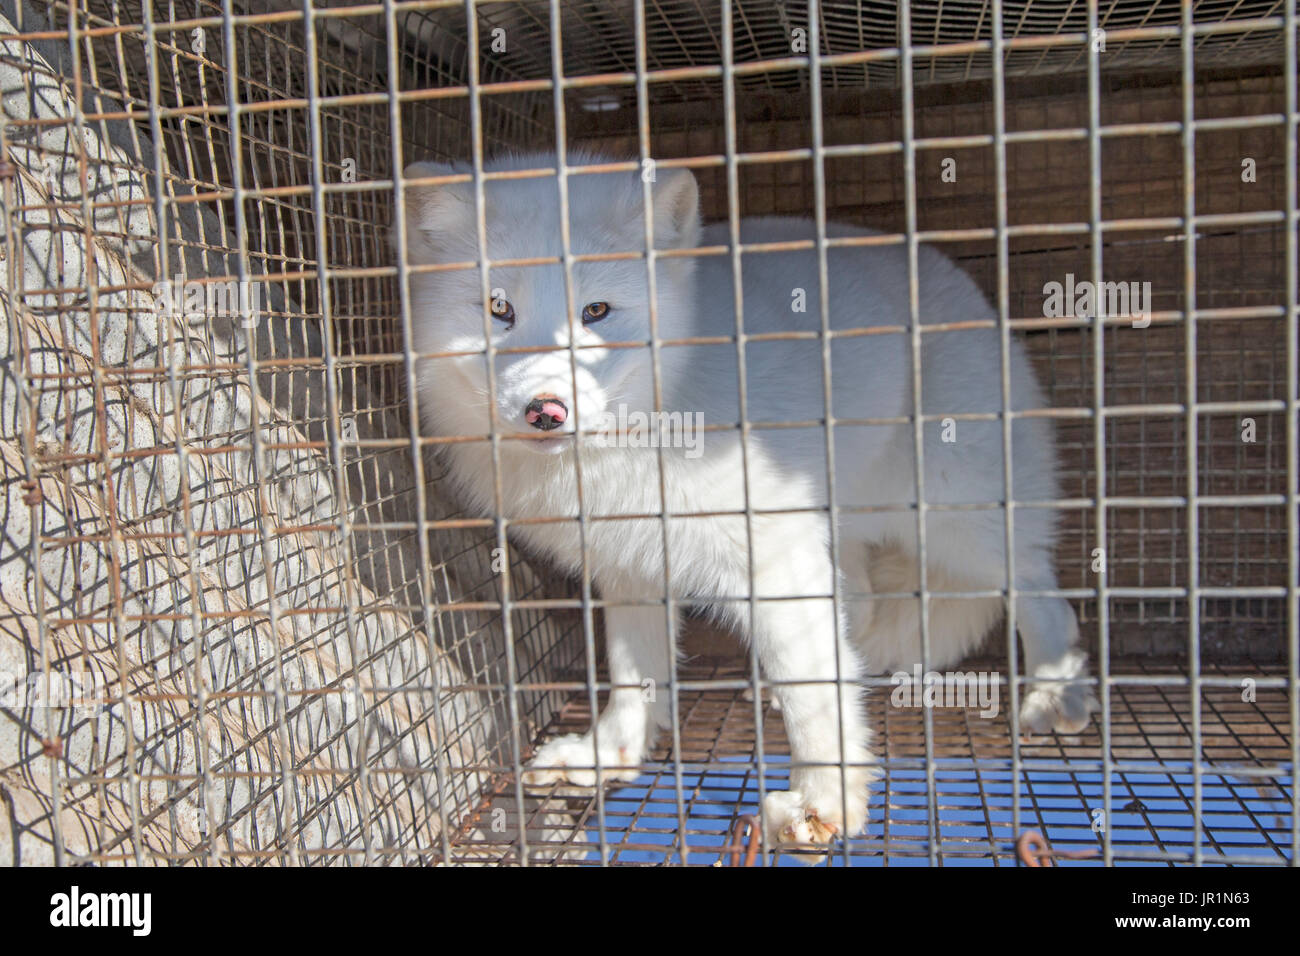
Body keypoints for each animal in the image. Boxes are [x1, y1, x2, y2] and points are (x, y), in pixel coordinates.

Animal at [397, 152, 1096, 856]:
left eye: (596, 310)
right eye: (498, 308)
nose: (546, 410)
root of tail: (957, 278)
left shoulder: (773, 552)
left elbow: (813, 700)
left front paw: (825, 802)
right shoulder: (631, 563)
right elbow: (633, 673)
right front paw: (610, 754)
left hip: (955, 512)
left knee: (1041, 591)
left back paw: (1054, 693)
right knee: (860, 607)